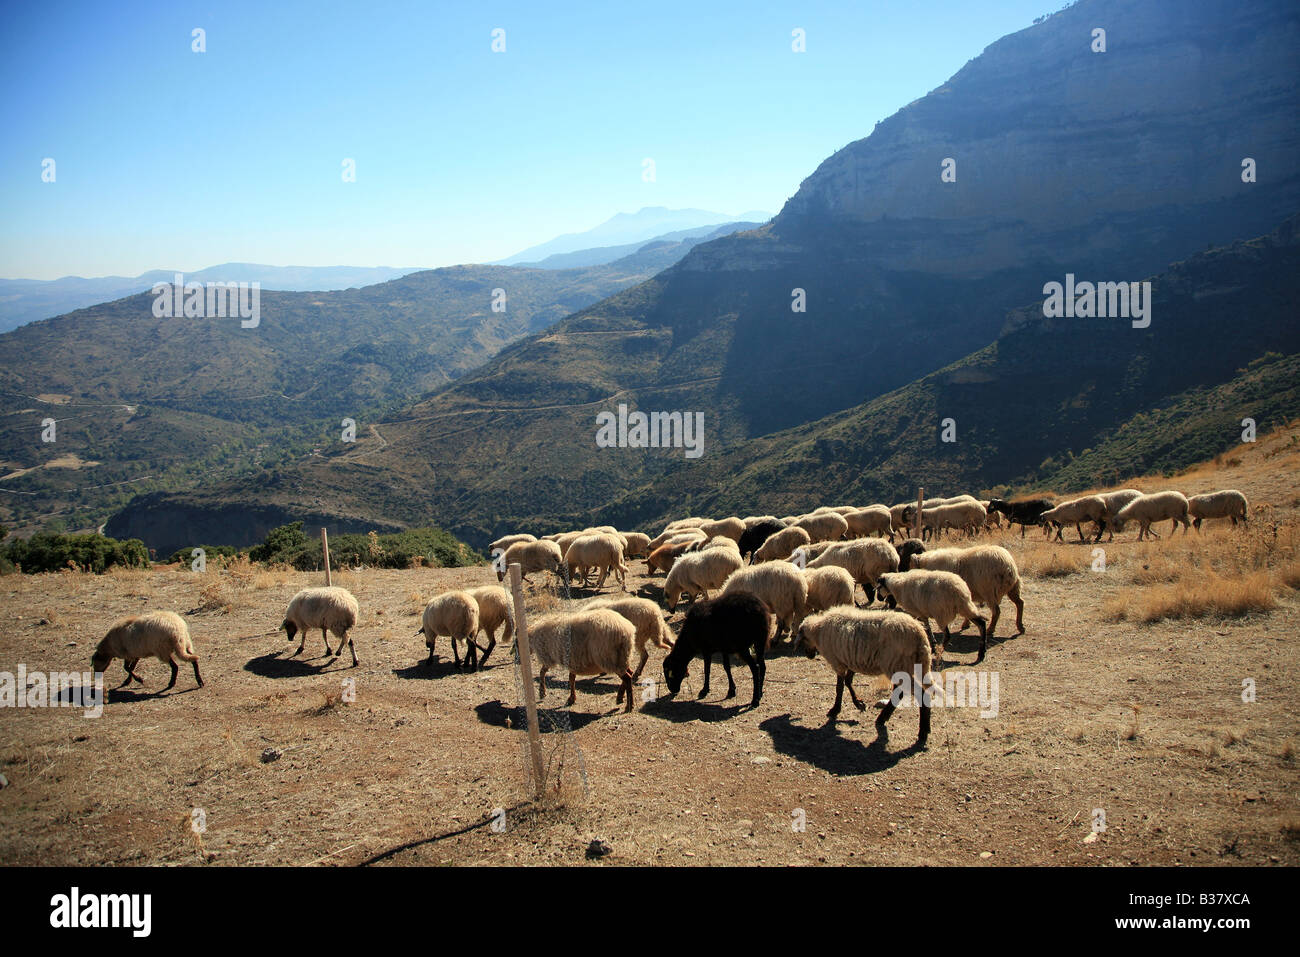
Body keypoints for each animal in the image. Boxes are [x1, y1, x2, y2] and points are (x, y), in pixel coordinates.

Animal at [793, 609, 939, 747]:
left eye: (803, 639)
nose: (809, 655)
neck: (818, 630)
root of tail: (920, 637)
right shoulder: (851, 661)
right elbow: (848, 681)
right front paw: (859, 703)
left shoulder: (837, 662)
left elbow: (839, 687)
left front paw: (835, 710)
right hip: (908, 666)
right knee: (904, 691)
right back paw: (884, 718)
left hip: (897, 665)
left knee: (920, 693)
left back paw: (922, 732)